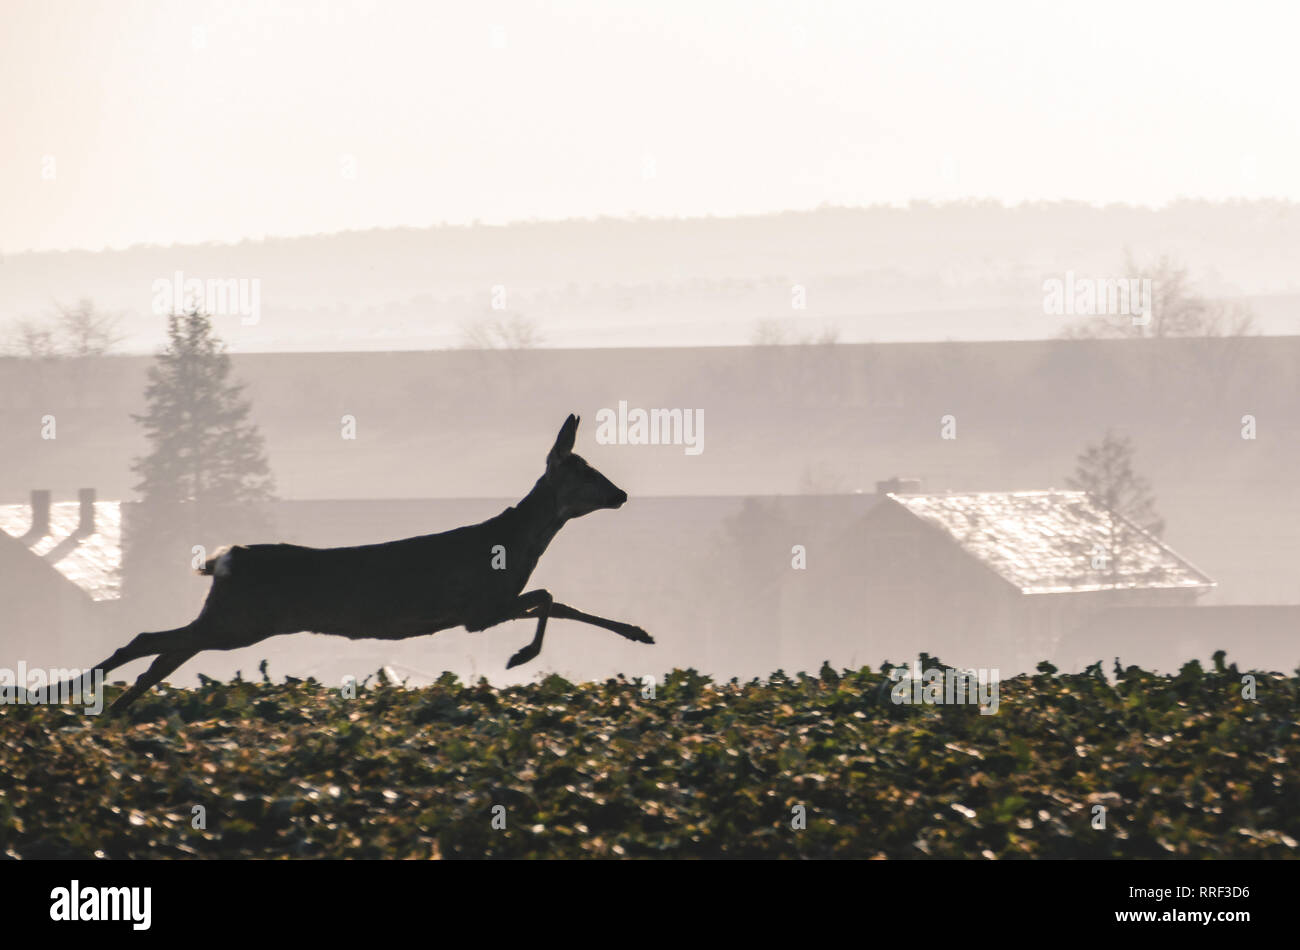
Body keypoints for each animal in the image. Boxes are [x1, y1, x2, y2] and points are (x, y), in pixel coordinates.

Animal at [76, 414, 653, 715]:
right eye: (582, 470)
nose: (621, 494)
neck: (512, 546)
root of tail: (224, 559)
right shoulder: (479, 607)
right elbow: (550, 597)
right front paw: (521, 656)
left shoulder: (489, 606)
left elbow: (559, 600)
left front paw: (639, 633)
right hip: (239, 622)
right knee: (147, 643)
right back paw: (73, 696)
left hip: (227, 620)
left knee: (162, 656)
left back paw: (114, 713)